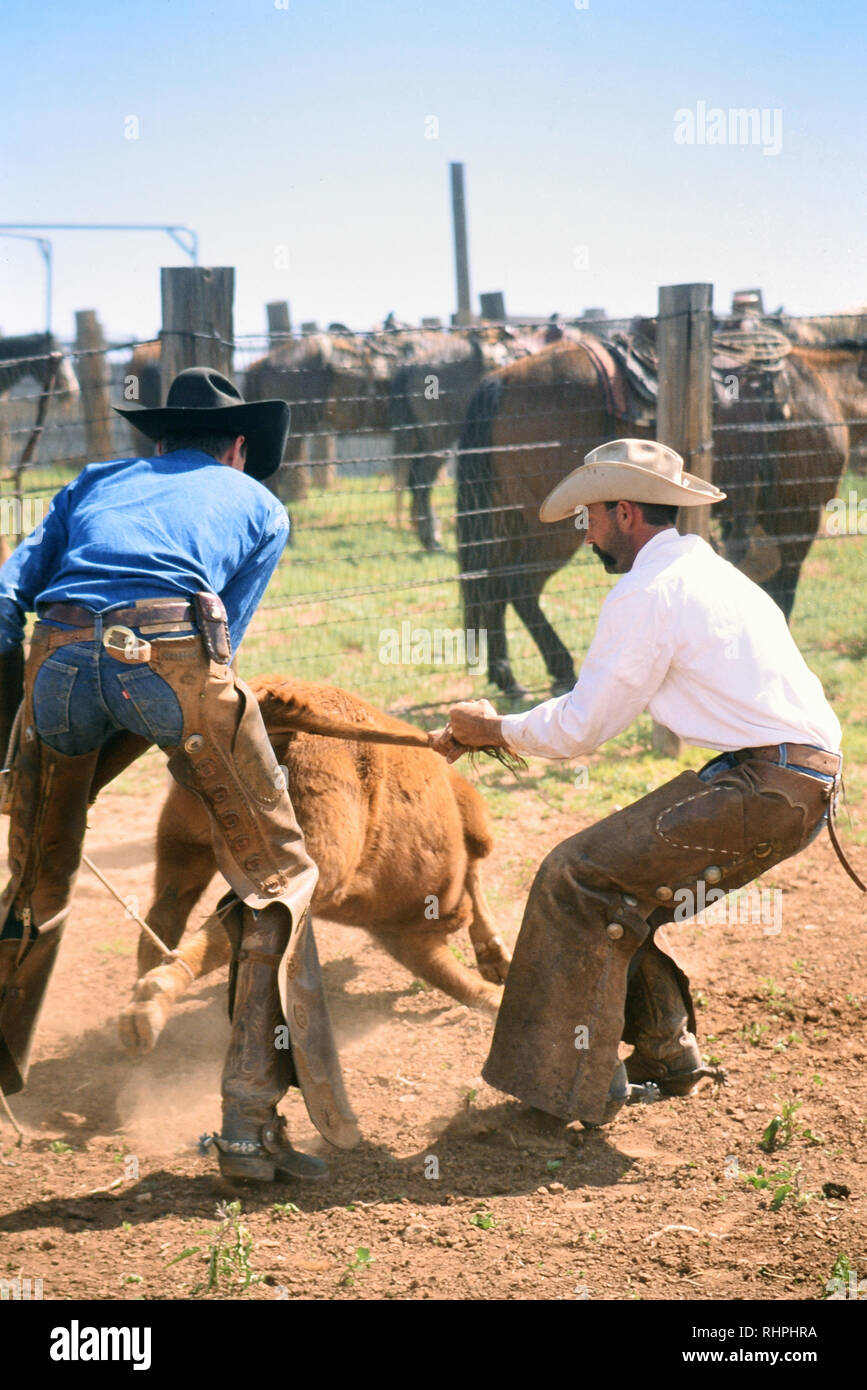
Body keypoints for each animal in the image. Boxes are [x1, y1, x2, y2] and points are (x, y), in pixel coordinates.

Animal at [118, 675, 510, 1055]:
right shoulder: (413, 926)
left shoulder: (402, 933)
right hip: (316, 862)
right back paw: (151, 1002)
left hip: (183, 847)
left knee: (167, 913)